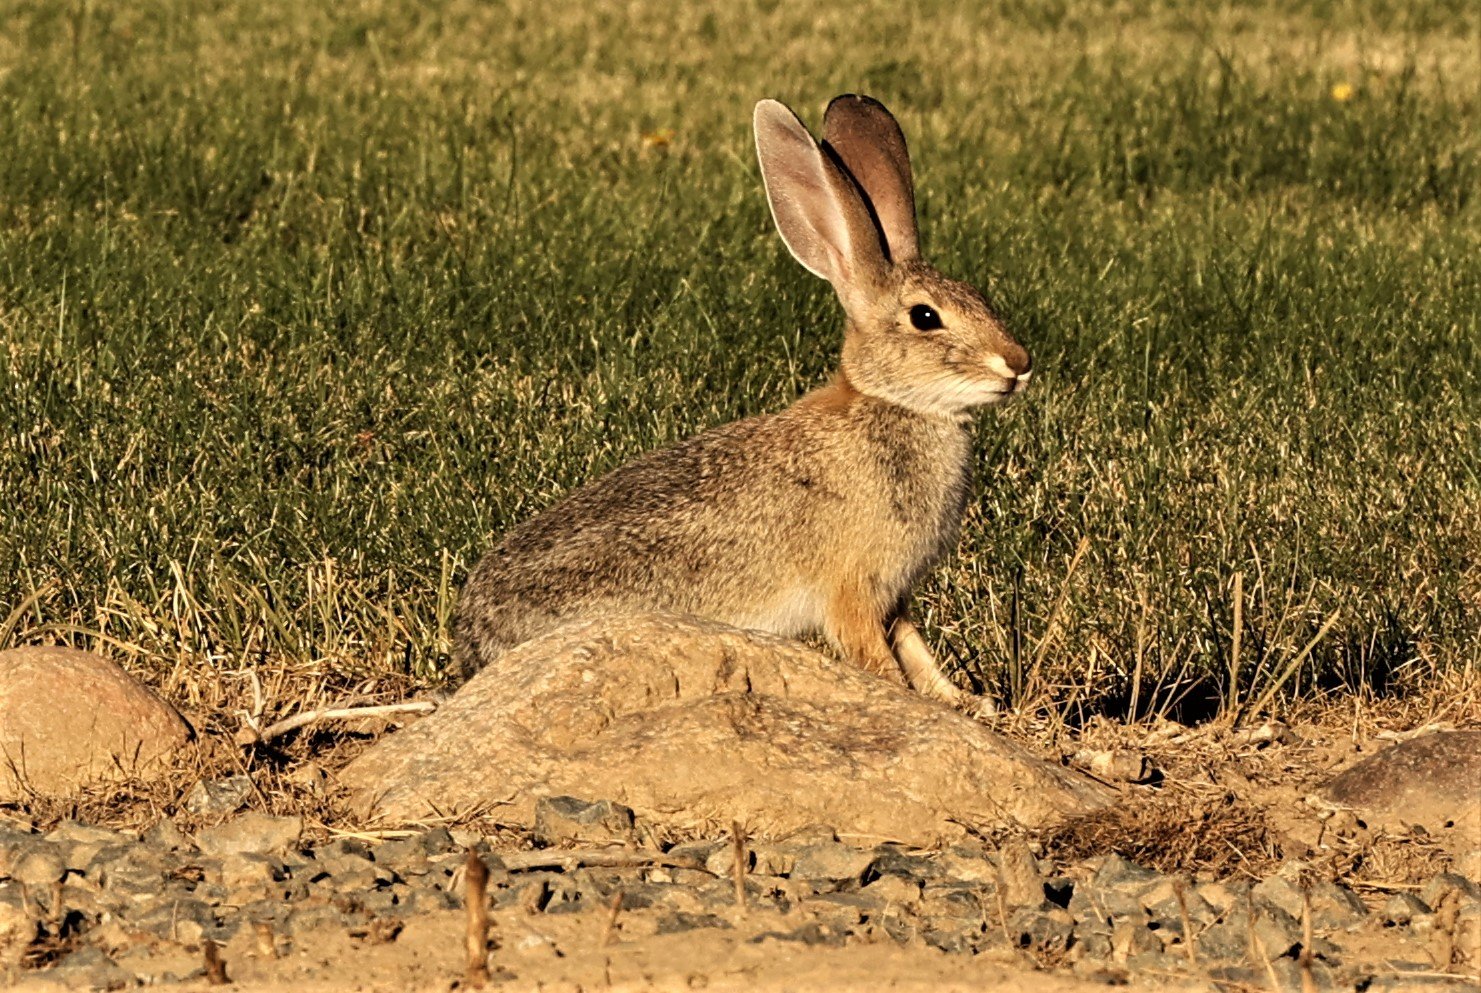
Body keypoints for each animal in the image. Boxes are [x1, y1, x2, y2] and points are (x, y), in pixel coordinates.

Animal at [449, 94, 1031, 710]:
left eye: (980, 297)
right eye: (925, 317)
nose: (1018, 363)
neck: (894, 403)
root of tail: (474, 645)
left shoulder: (893, 593)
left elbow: (914, 646)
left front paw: (964, 702)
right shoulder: (851, 586)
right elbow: (873, 651)